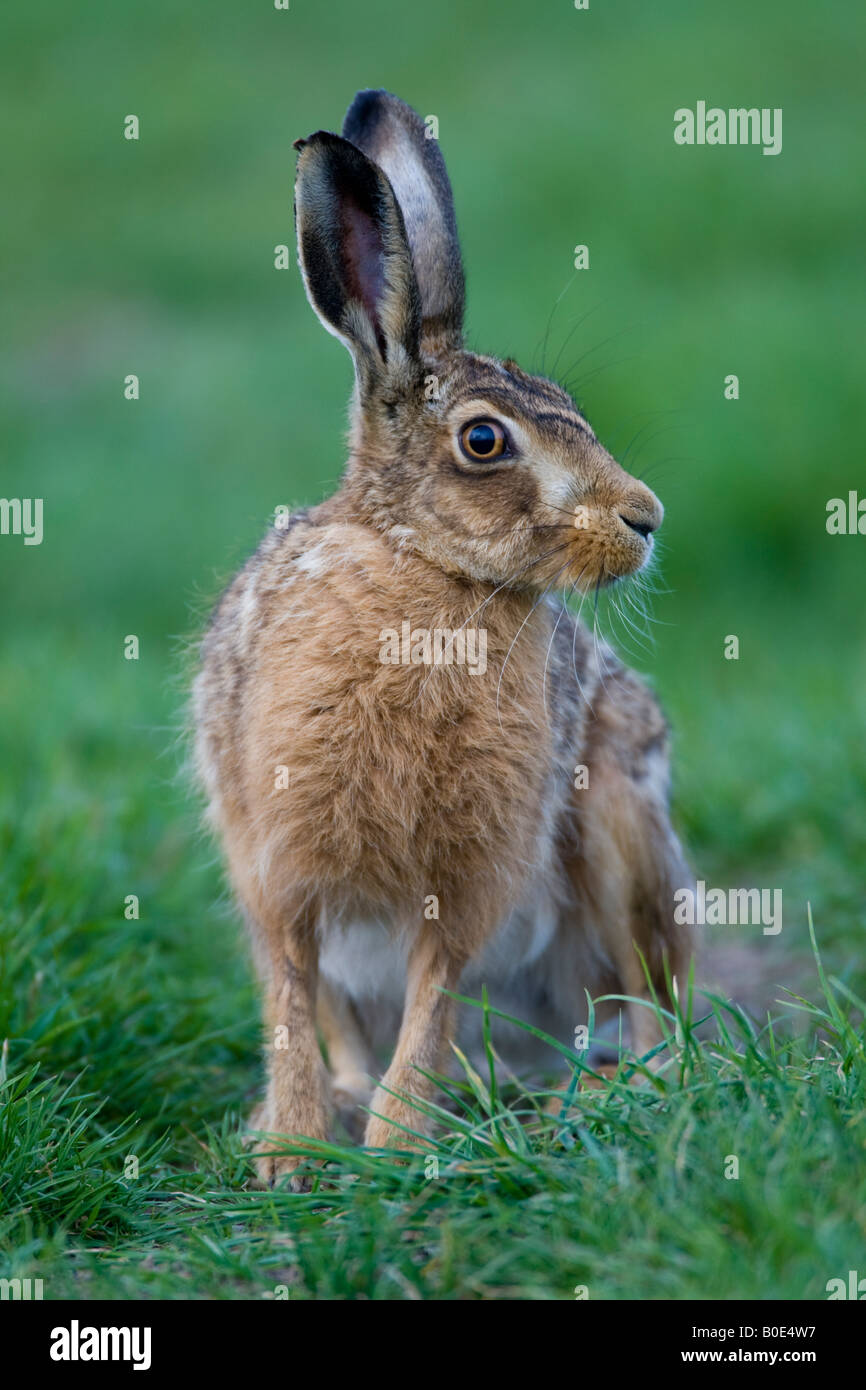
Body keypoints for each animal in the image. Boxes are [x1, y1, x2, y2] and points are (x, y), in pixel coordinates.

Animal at [193, 89, 694, 1185]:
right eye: (483, 441)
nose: (644, 518)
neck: (427, 573)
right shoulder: (277, 866)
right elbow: (291, 996)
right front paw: (293, 1149)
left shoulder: (468, 875)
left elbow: (433, 998)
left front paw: (393, 1149)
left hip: (623, 832)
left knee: (654, 1016)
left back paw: (593, 1097)